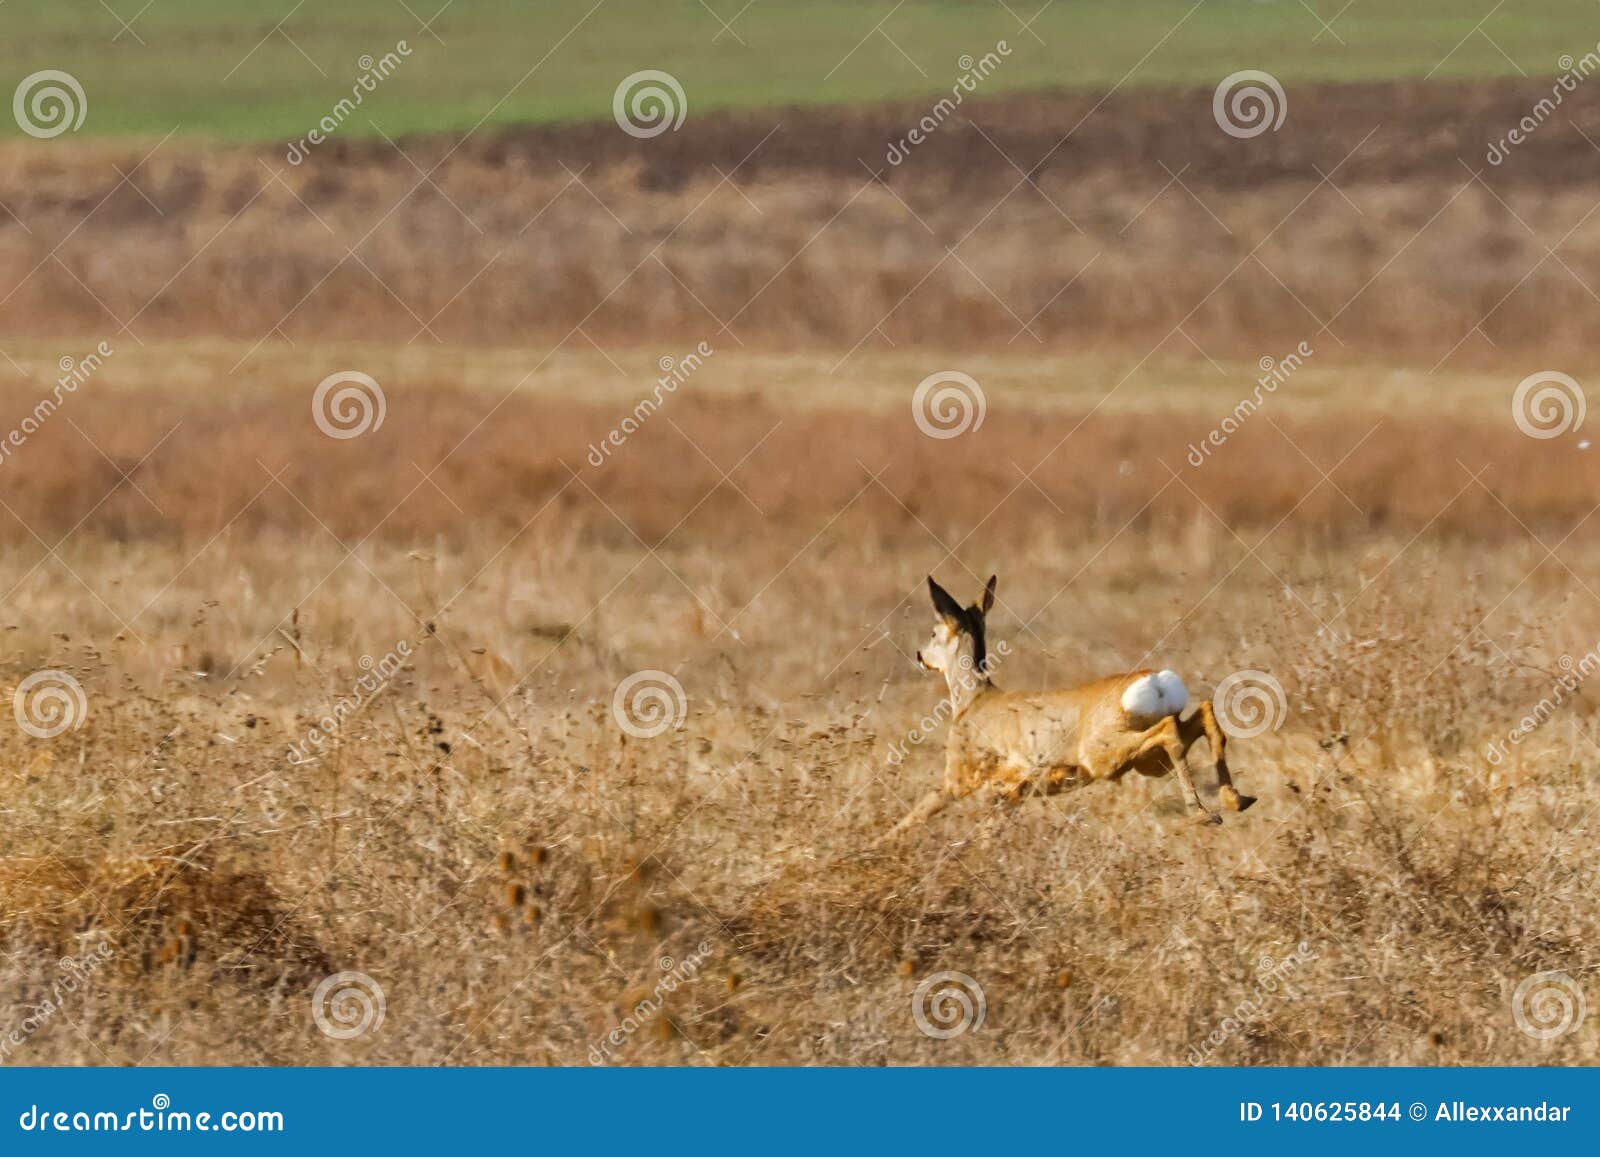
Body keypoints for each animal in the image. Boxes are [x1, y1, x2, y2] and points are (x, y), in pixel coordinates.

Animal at [879, 574, 1254, 843]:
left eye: (934, 632)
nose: (919, 656)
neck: (973, 701)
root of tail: (1156, 681)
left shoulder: (957, 780)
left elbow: (914, 815)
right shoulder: (1009, 796)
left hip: (1106, 756)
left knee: (1170, 731)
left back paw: (1204, 813)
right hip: (1148, 761)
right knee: (1204, 714)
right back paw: (1235, 800)